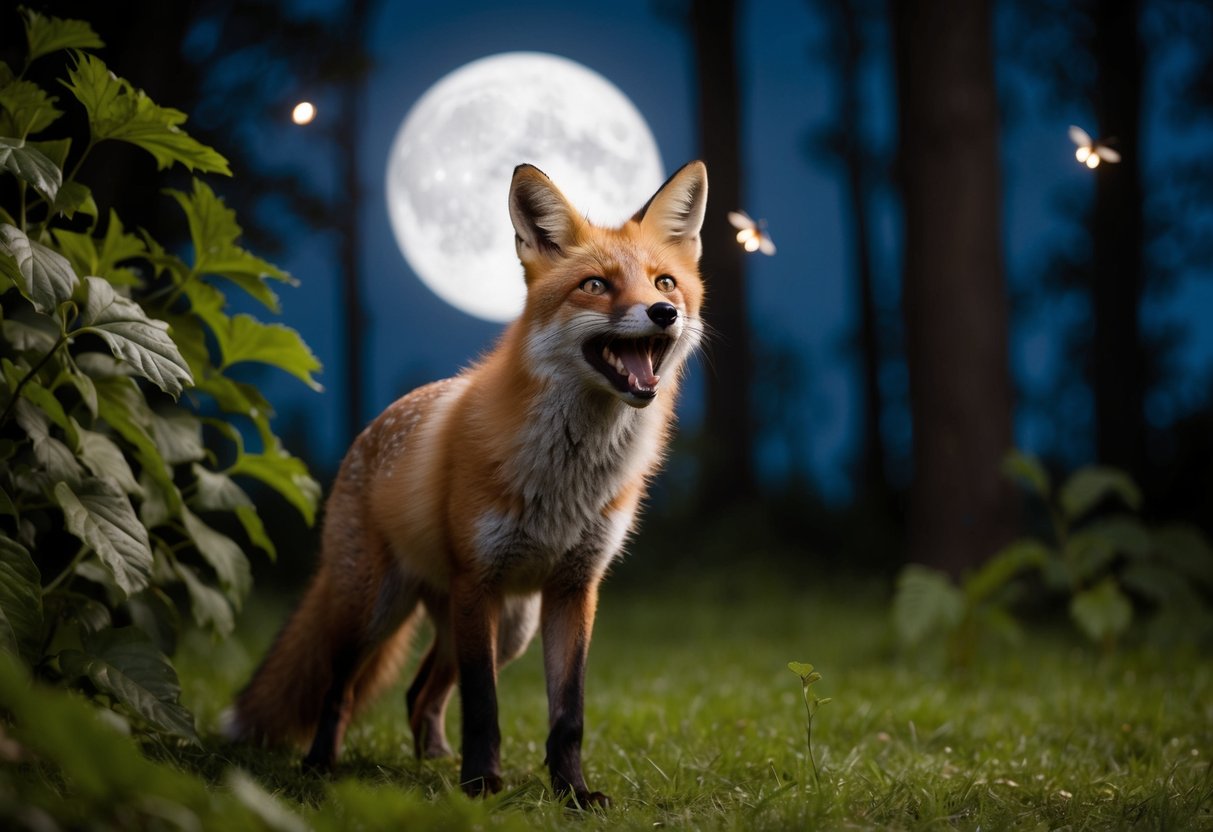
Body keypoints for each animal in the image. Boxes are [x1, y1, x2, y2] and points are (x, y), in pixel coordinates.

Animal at [222, 160, 708, 807]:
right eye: (596, 285)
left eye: (664, 283)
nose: (663, 314)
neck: (567, 479)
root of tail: (369, 431)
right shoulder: (478, 580)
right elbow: (483, 707)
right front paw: (481, 787)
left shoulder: (574, 588)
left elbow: (568, 713)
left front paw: (572, 792)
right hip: (377, 608)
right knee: (339, 690)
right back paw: (321, 767)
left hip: (506, 626)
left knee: (420, 691)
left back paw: (431, 761)